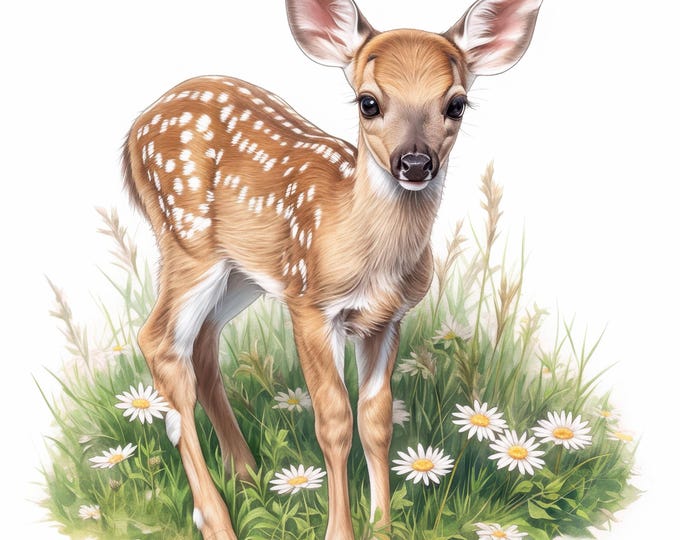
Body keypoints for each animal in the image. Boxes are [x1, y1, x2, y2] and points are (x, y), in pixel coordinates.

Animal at [121, 0, 542, 538]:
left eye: (456, 104)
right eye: (368, 102)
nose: (414, 162)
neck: (365, 252)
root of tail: (137, 128)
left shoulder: (388, 319)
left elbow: (376, 419)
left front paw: (383, 527)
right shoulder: (311, 304)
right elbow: (335, 420)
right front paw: (342, 531)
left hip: (241, 272)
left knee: (202, 342)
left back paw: (247, 472)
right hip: (188, 243)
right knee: (158, 341)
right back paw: (216, 518)